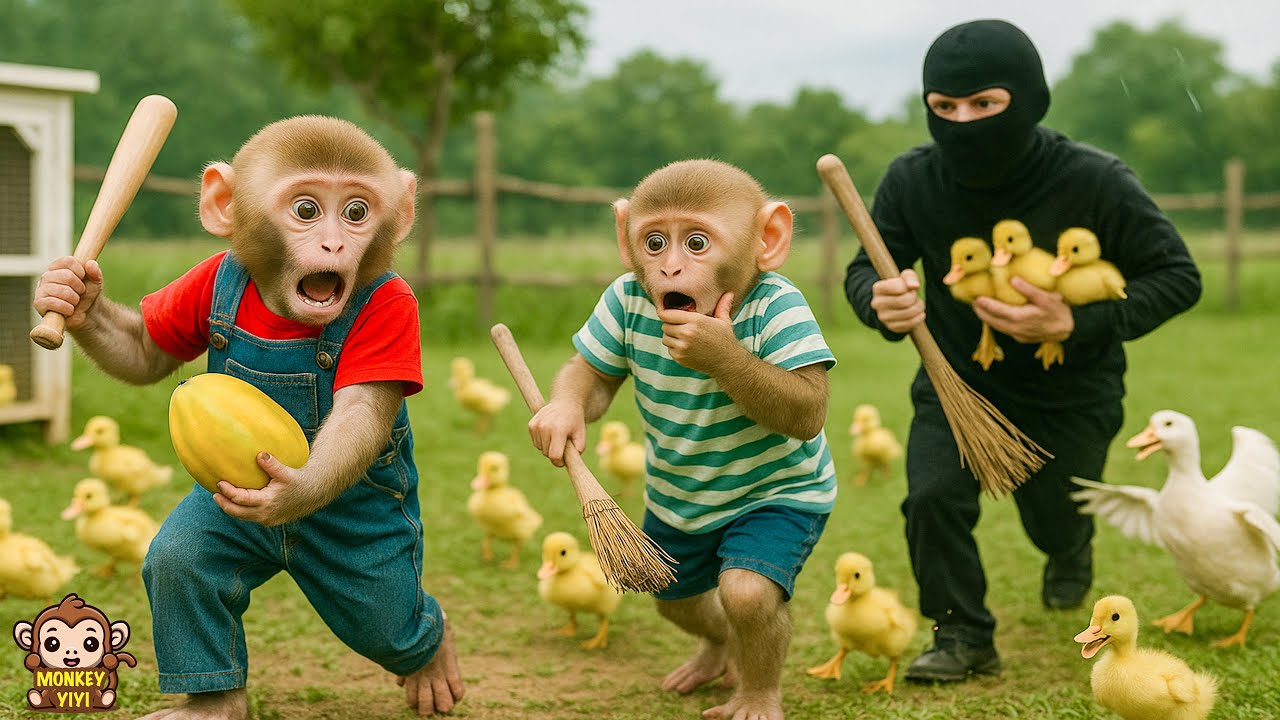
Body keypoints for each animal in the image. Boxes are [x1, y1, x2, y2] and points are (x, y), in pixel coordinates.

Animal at [33, 116, 463, 719]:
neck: (281, 312)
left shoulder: (393, 313)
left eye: (357, 212)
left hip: (370, 556)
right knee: (186, 566)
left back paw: (435, 659)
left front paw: (295, 488)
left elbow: (359, 411)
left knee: (388, 618)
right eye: (306, 209)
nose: (335, 242)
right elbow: (148, 352)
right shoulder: (205, 277)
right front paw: (71, 294)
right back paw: (212, 704)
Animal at [527, 158, 837, 720]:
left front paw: (714, 347)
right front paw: (557, 422)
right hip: (680, 557)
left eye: (696, 243)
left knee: (745, 592)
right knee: (685, 600)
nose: (670, 271)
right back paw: (718, 659)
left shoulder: (789, 311)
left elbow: (804, 406)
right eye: (654, 243)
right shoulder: (616, 298)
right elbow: (593, 372)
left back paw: (754, 696)